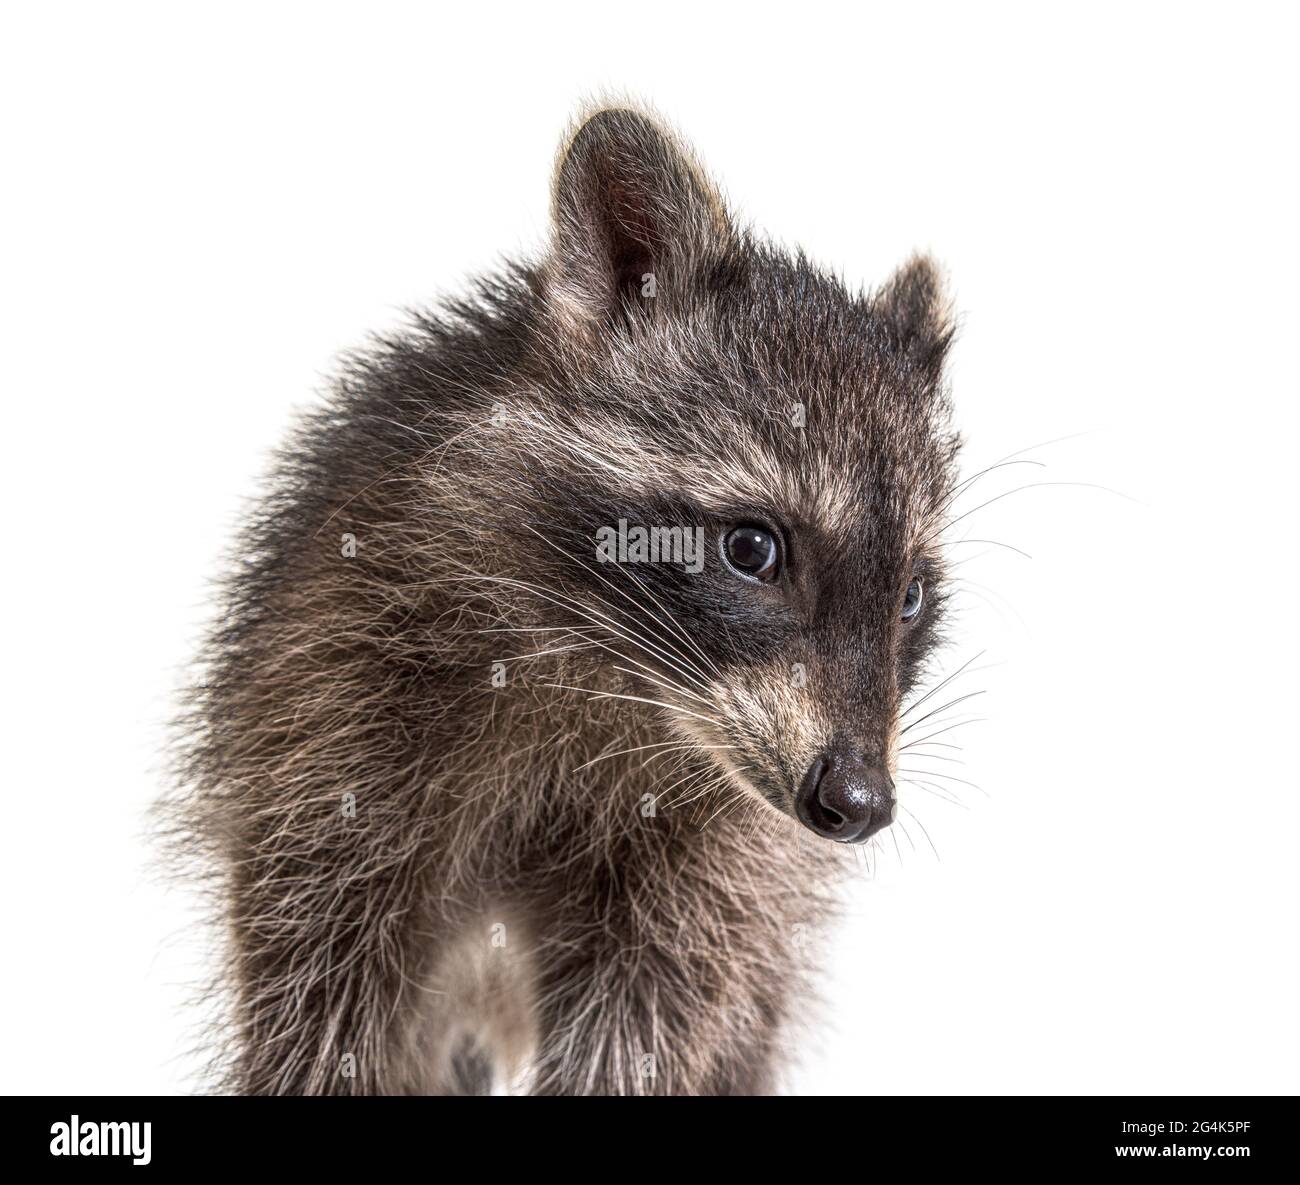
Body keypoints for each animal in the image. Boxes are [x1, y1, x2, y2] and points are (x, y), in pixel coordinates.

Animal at [169, 104, 962, 1095]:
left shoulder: (724, 872)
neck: (616, 677)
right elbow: (320, 1007)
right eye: (753, 550)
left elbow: (646, 1023)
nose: (860, 800)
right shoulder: (330, 709)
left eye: (910, 596)